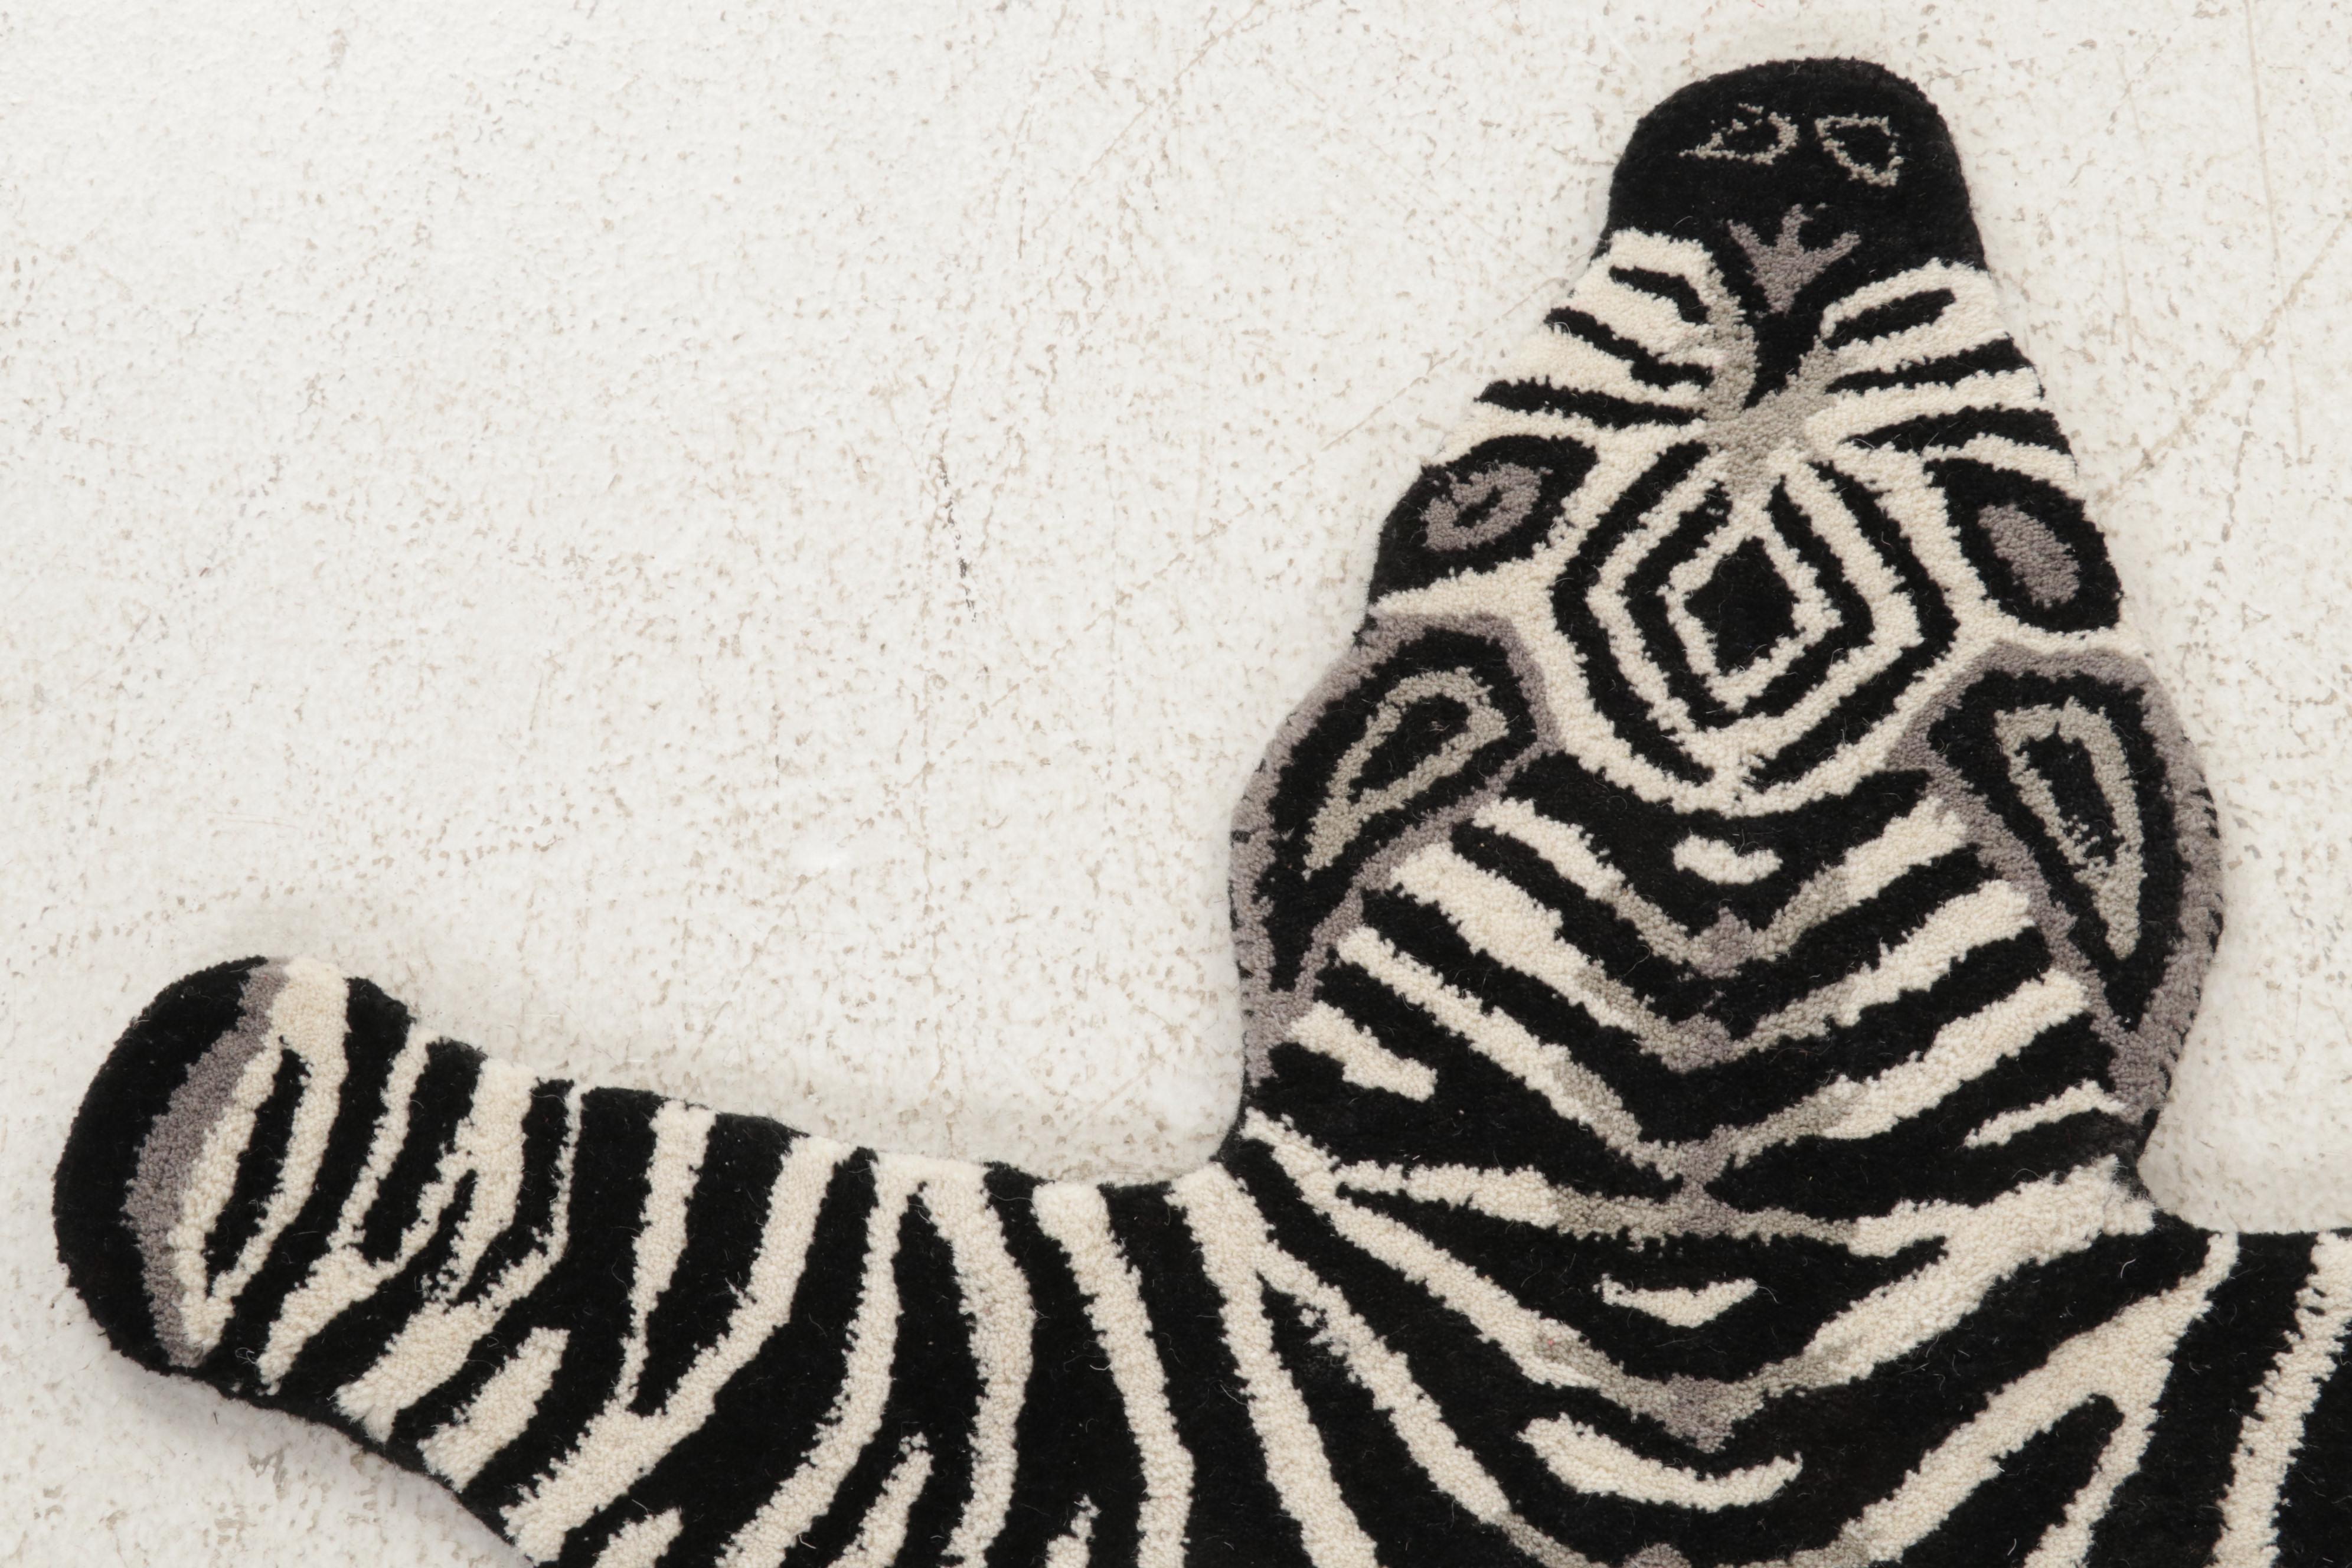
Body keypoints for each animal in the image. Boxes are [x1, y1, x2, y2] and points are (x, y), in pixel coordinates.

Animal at [51, 55, 2352, 1568]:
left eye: (2046, 543)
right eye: (1467, 505)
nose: (1800, 127)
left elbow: (698, 1252)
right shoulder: (1012, 1396)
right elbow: (682, 1246)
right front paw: (219, 1112)